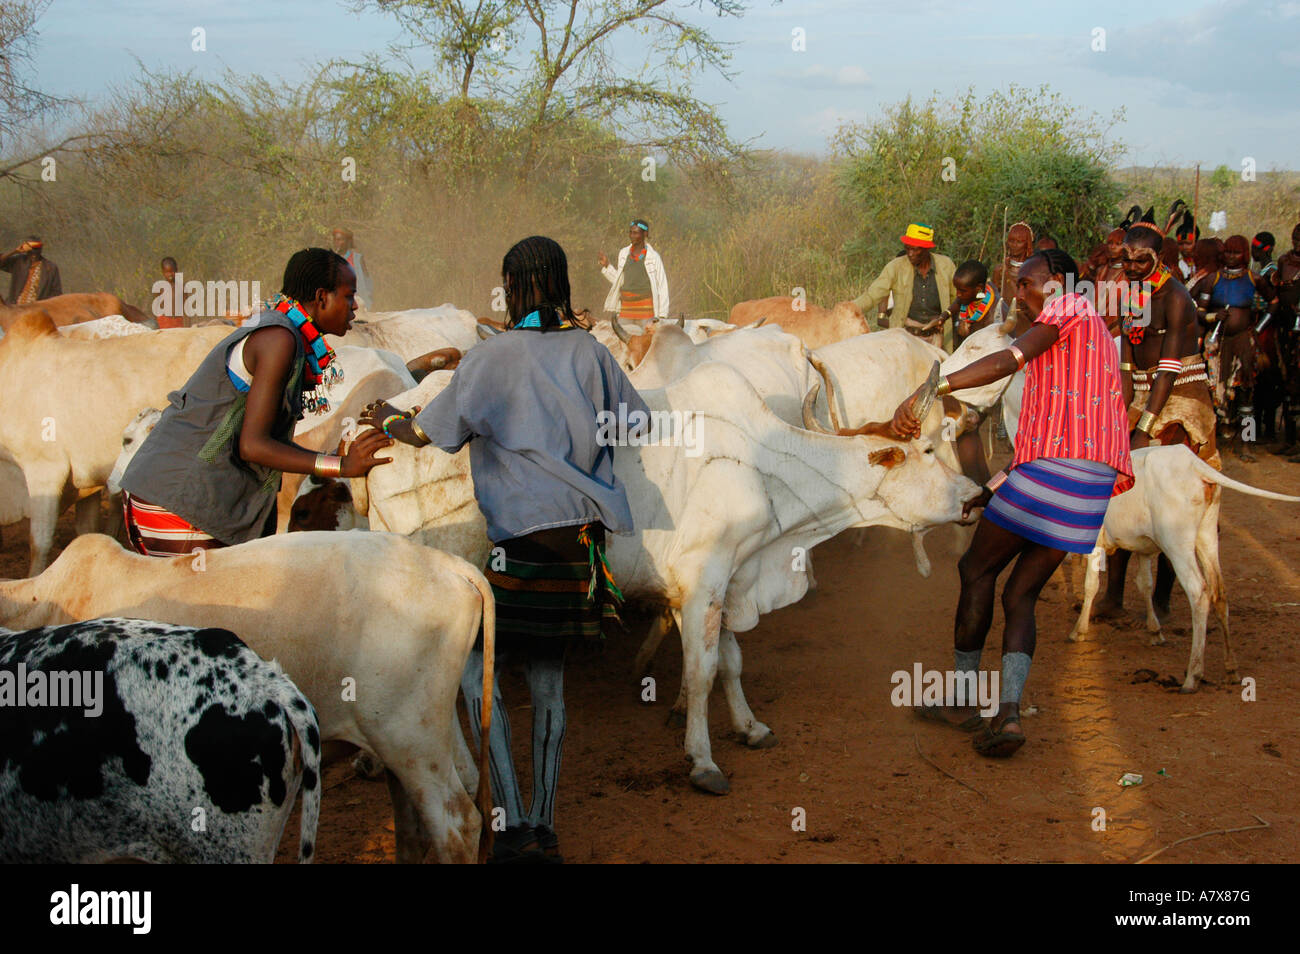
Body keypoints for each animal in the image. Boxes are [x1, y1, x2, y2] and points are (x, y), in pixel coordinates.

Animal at [355, 362, 976, 794]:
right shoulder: (706, 580)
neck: (768, 467)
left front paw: (750, 728)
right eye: (926, 448)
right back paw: (463, 773)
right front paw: (702, 760)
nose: (976, 497)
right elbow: (701, 674)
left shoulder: (716, 582)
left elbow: (730, 663)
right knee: (452, 682)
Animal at [1066, 444, 1300, 692]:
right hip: (1207, 537)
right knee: (1219, 592)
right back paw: (1231, 668)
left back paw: (1193, 676)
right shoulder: (1143, 549)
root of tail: (1192, 463)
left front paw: (1079, 630)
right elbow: (1145, 584)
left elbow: (1091, 585)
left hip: (1177, 544)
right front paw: (1154, 631)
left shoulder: (1095, 543)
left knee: (1199, 593)